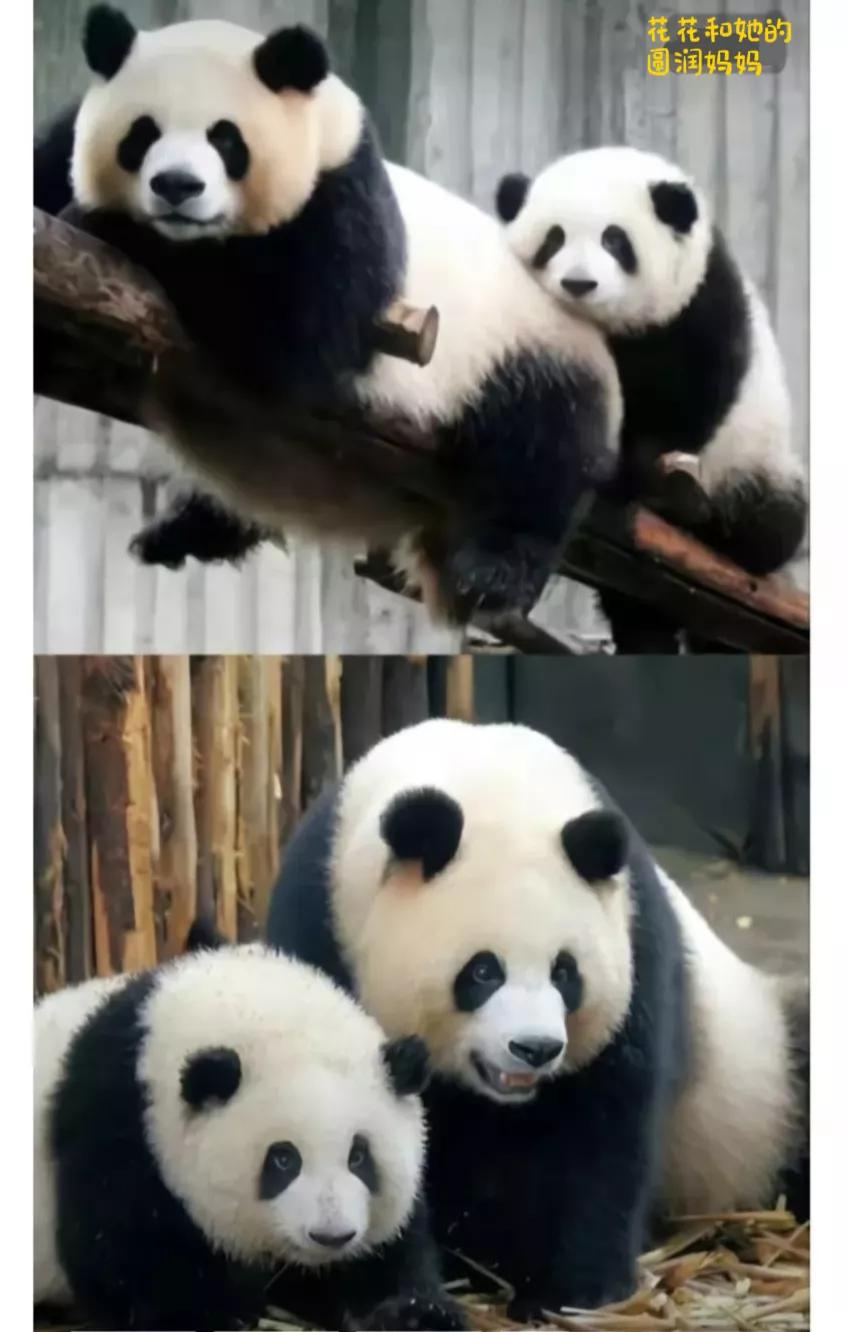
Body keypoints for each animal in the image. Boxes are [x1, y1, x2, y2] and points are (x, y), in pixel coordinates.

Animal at [34, 5, 622, 623]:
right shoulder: (62, 143)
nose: (177, 186)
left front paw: (104, 223)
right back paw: (186, 530)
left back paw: (494, 574)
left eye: (226, 139)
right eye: (142, 134)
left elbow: (294, 332)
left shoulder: (340, 202)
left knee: (540, 452)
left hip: (527, 349)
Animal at [34, 939, 468, 1332]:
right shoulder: (117, 1124)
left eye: (359, 1157)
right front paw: (211, 1313)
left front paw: (412, 1314)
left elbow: (390, 1253)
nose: (331, 1235)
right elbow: (120, 1250)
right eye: (283, 1159)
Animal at [267, 719, 809, 1319]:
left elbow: (602, 1129)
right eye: (483, 971)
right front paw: (403, 1303)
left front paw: (571, 1292)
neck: (488, 779)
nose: (535, 1048)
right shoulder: (320, 929)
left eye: (565, 972)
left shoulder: (636, 948)